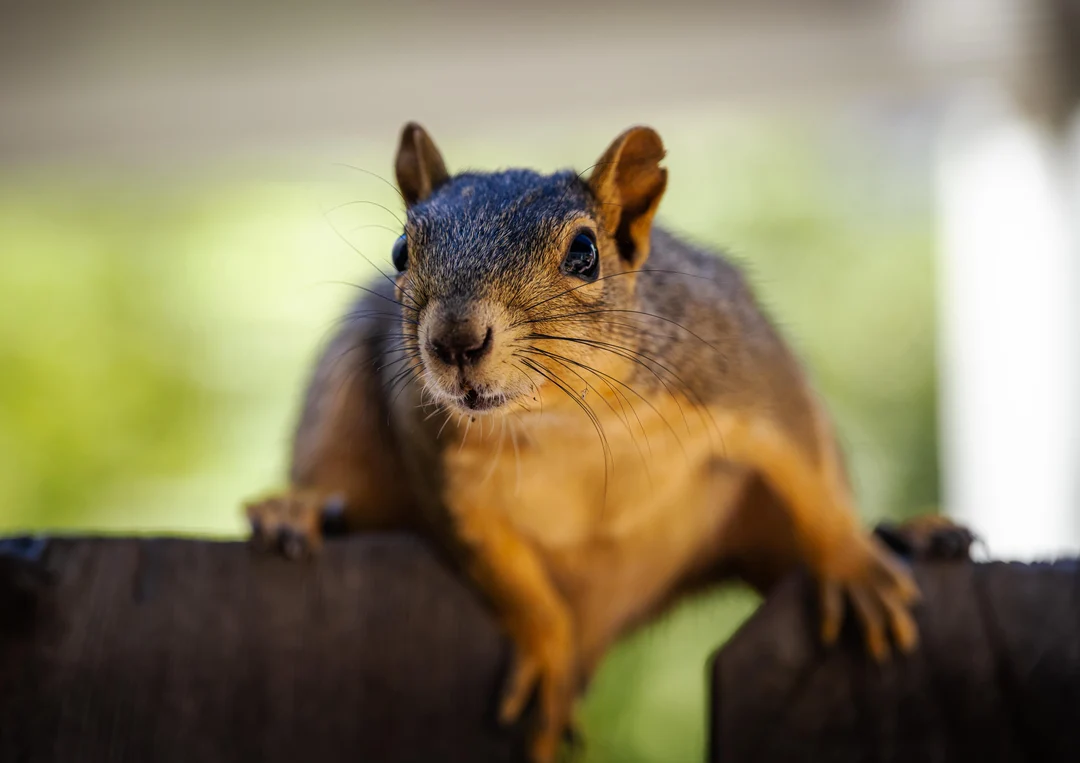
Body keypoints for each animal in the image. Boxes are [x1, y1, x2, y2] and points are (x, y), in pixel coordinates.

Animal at [245, 122, 921, 763]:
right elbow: (507, 577)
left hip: (757, 529)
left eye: (585, 253)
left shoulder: (742, 368)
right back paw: (294, 508)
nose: (456, 341)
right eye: (400, 250)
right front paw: (549, 658)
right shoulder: (443, 473)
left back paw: (921, 531)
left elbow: (805, 462)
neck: (564, 416)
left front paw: (853, 565)